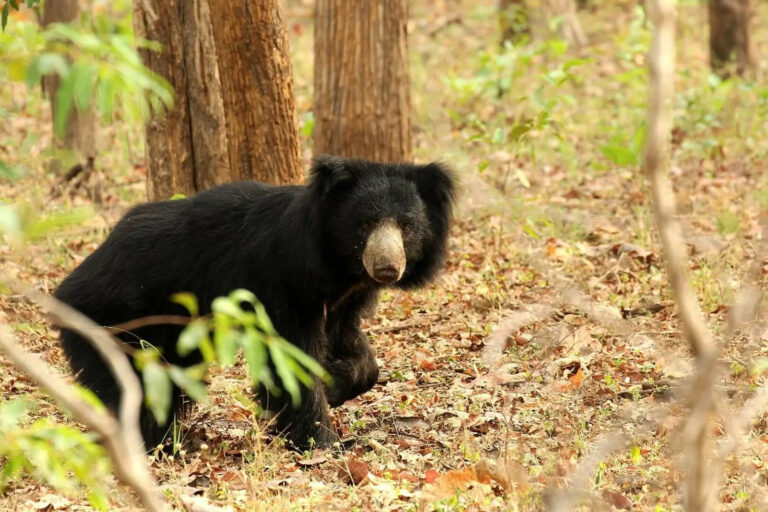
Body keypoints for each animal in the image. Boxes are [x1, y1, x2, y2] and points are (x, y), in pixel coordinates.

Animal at [54, 156, 456, 450]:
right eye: (366, 224)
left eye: (406, 226)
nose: (387, 268)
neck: (336, 268)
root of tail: (66, 288)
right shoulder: (279, 284)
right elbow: (289, 360)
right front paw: (326, 443)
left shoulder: (345, 298)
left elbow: (351, 344)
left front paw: (338, 384)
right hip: (120, 320)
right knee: (138, 387)